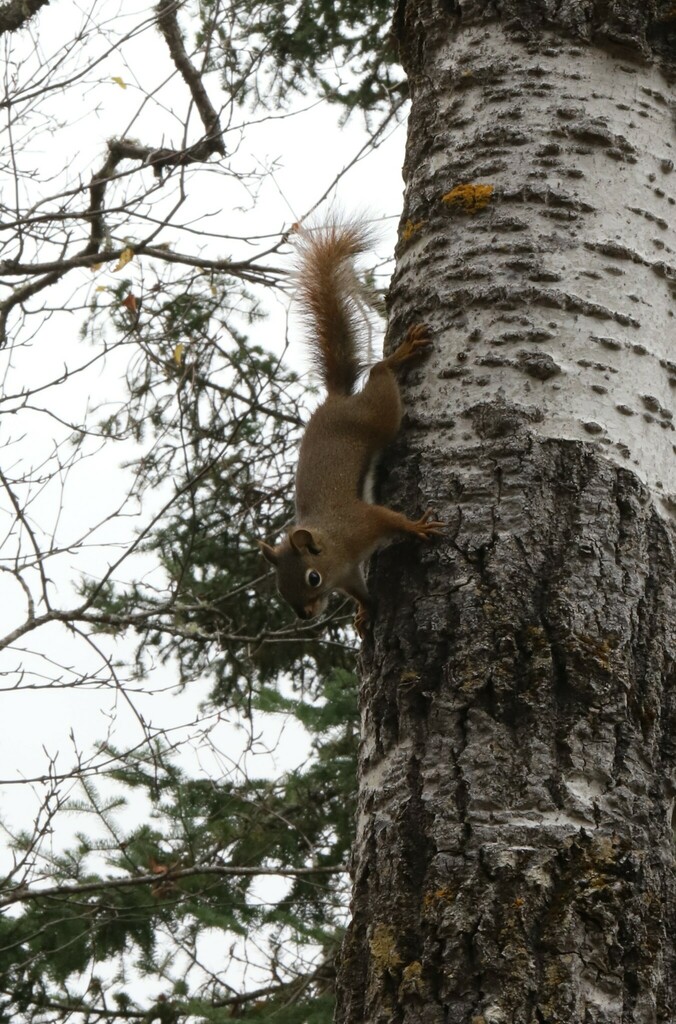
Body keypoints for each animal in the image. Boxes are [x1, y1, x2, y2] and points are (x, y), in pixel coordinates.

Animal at [259, 220, 443, 634]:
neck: (335, 549)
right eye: (280, 588)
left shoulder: (362, 521)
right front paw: (364, 612)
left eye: (312, 578)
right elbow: (361, 592)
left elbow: (391, 518)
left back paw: (399, 355)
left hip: (379, 416)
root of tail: (336, 401)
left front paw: (418, 529)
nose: (304, 615)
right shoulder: (348, 575)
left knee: (379, 373)